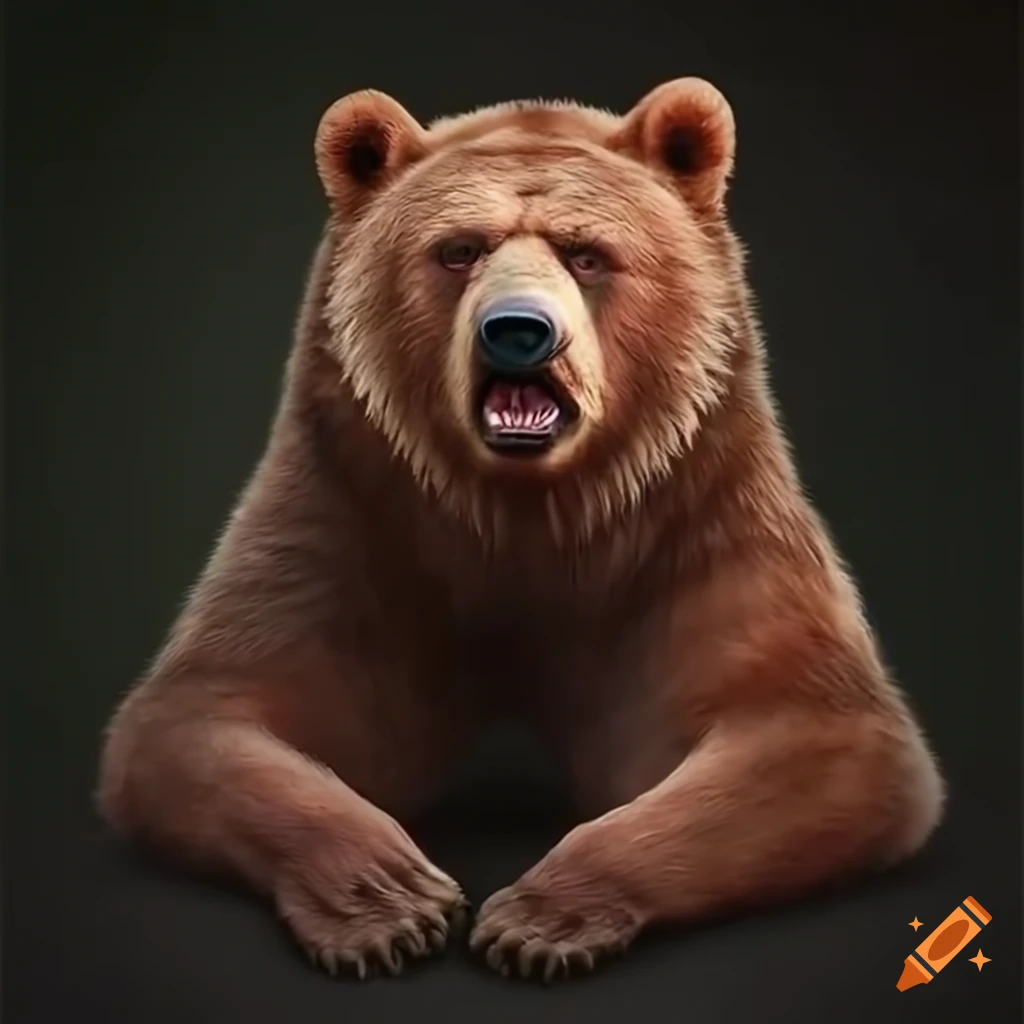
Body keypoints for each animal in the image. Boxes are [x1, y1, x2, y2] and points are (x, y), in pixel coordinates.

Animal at [96, 78, 945, 983]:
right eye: (460, 249)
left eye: (586, 253)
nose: (518, 330)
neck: (523, 514)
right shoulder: (350, 515)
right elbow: (209, 714)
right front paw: (392, 903)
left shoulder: (701, 518)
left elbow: (812, 731)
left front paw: (537, 919)